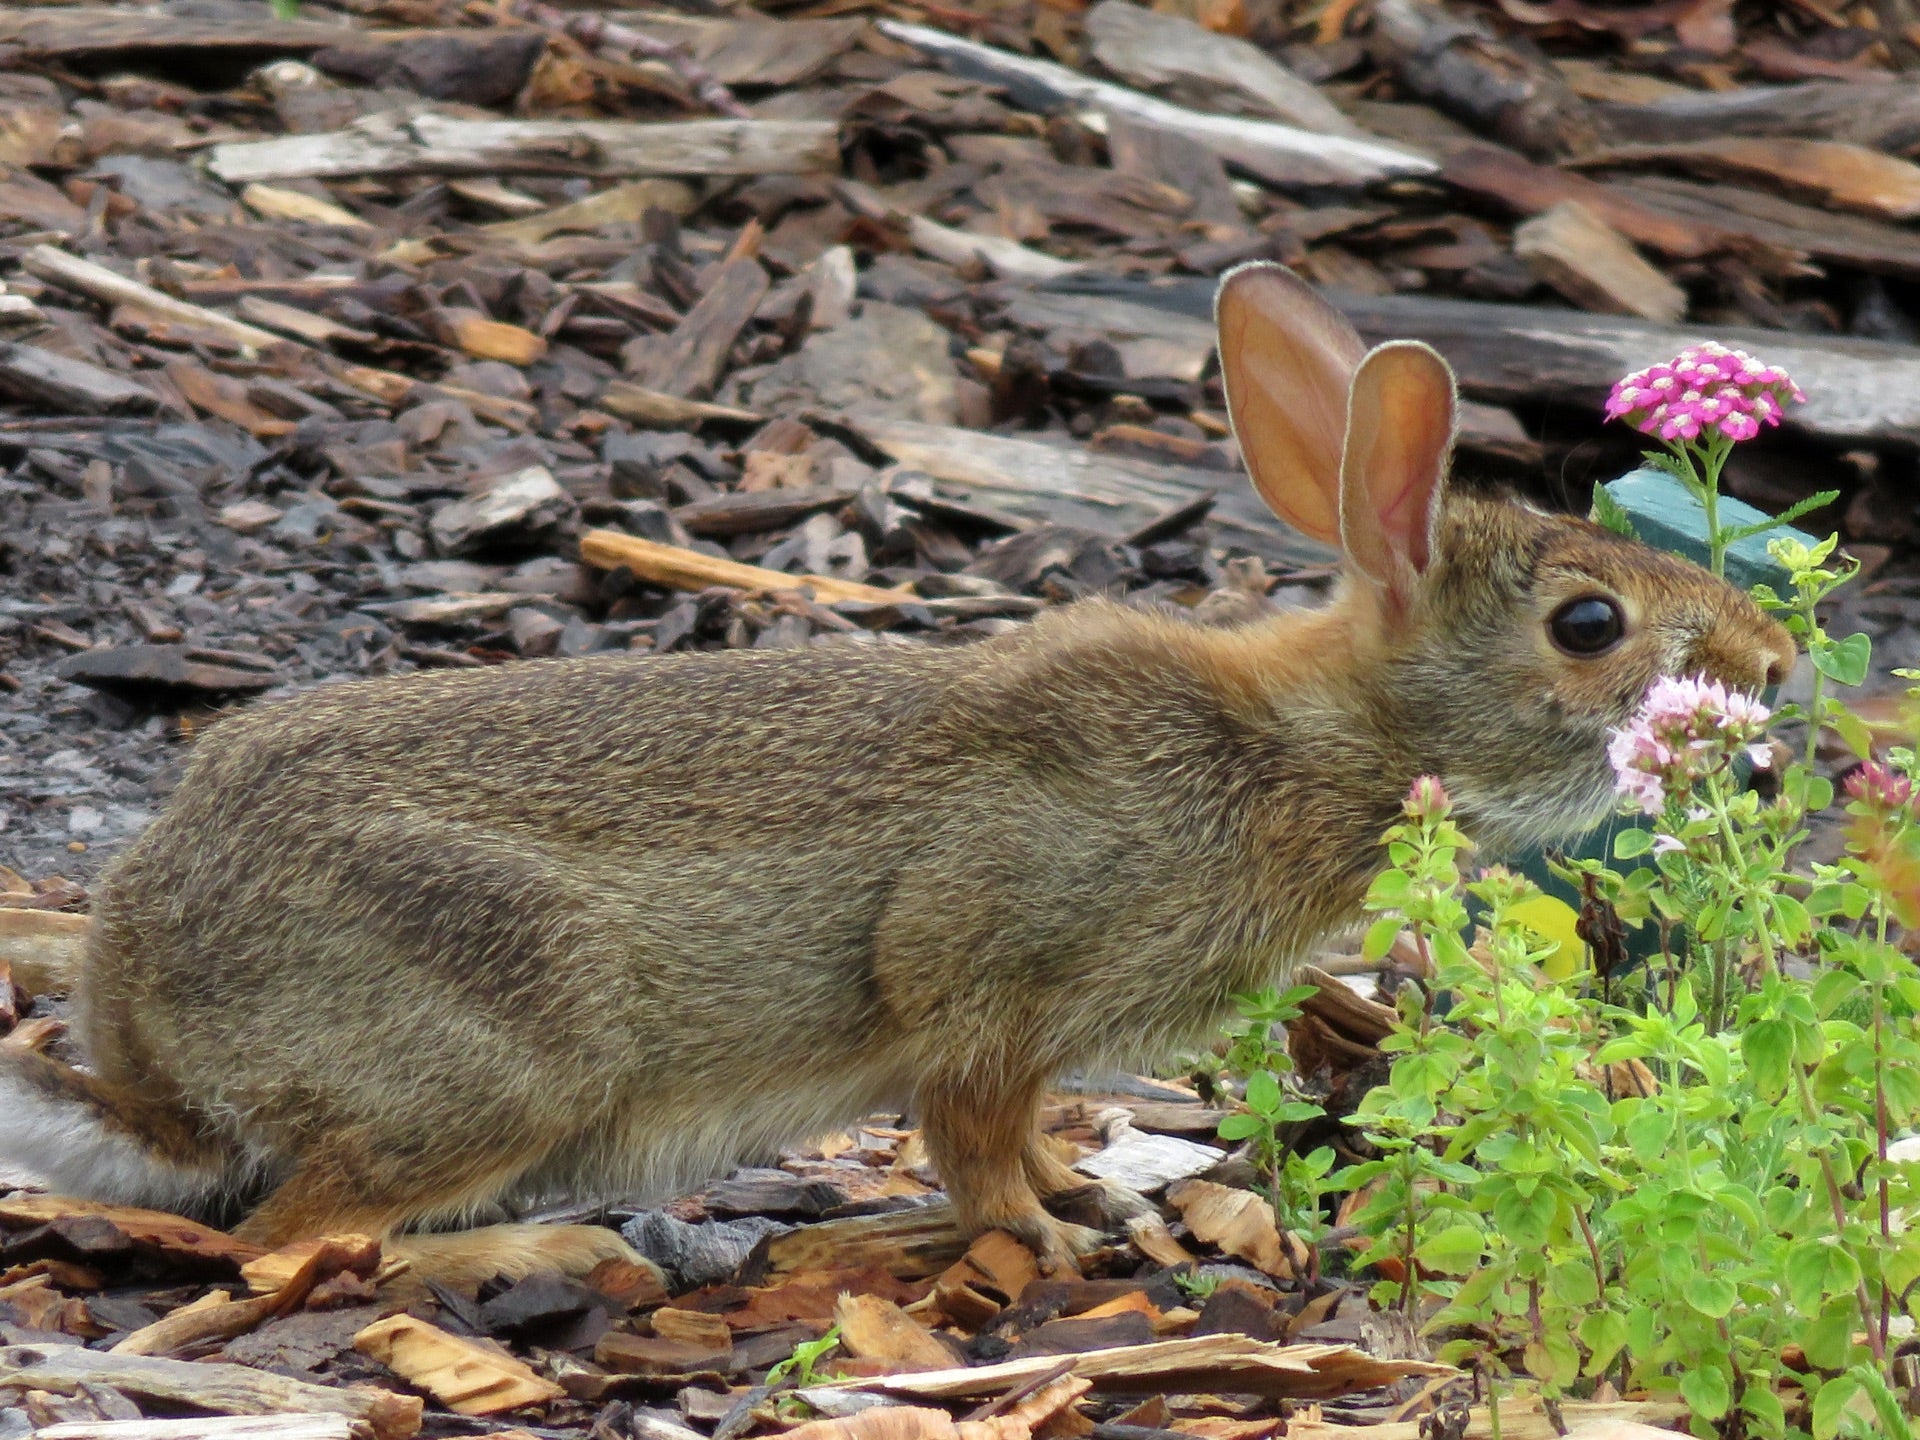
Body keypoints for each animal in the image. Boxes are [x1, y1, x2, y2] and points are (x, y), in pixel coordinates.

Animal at [0, 264, 1796, 1289]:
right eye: (1588, 624)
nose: (1774, 674)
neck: (1313, 742)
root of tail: (150, 1024)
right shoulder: (989, 974)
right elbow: (969, 1128)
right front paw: (1051, 1237)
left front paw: (1087, 1197)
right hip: (509, 1047)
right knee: (289, 1243)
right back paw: (545, 1247)